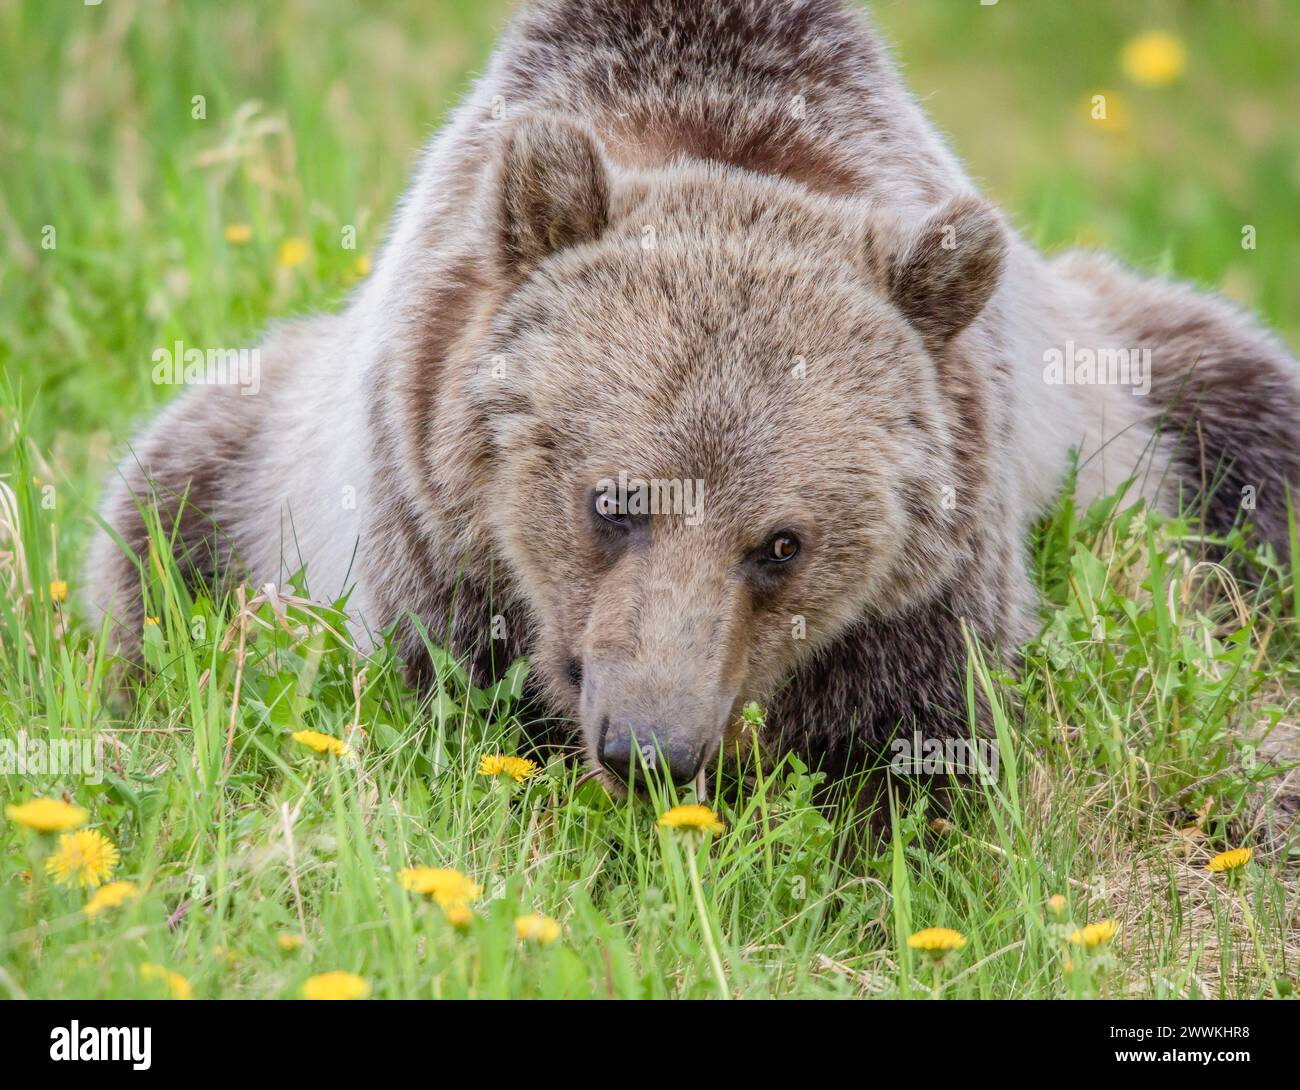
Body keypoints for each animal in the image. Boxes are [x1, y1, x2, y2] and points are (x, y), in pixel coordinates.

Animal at [86, 0, 1300, 802]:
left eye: (782, 544)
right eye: (610, 501)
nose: (650, 743)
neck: (720, 132)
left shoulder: (939, 561)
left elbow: (918, 749)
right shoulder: (429, 523)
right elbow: (454, 705)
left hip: (1145, 386)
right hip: (248, 455)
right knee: (154, 531)